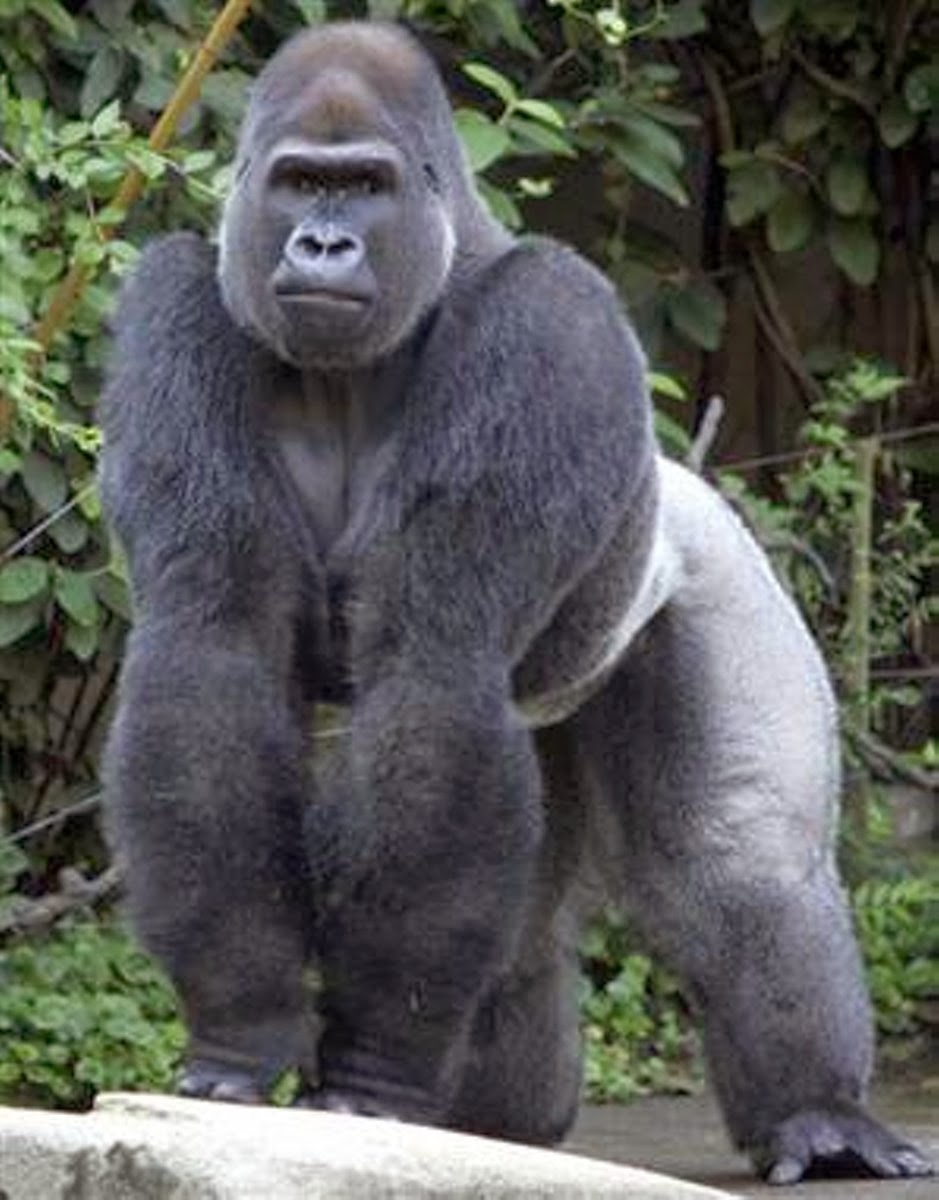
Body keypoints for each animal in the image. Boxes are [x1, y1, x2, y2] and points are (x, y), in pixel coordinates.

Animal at [99, 21, 933, 1184]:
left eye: (364, 187)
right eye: (300, 182)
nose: (321, 245)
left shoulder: (553, 319)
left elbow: (437, 652)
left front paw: (365, 1076)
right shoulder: (171, 300)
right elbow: (214, 642)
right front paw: (239, 1030)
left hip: (714, 576)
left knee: (739, 862)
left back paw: (817, 1113)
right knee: (525, 927)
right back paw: (498, 1121)